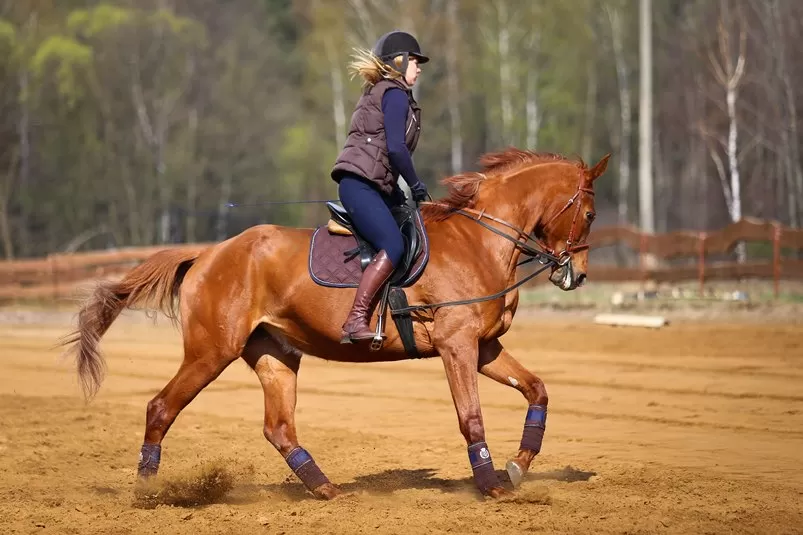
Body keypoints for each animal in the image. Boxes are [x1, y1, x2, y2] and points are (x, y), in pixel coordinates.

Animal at [59, 149, 608, 500]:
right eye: (589, 212)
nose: (577, 275)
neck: (482, 241)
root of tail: (207, 253)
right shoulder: (458, 345)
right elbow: (470, 416)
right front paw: (492, 486)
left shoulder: (485, 346)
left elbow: (537, 390)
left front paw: (517, 467)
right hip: (209, 352)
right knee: (161, 407)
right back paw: (147, 491)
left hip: (274, 355)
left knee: (279, 428)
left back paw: (325, 488)